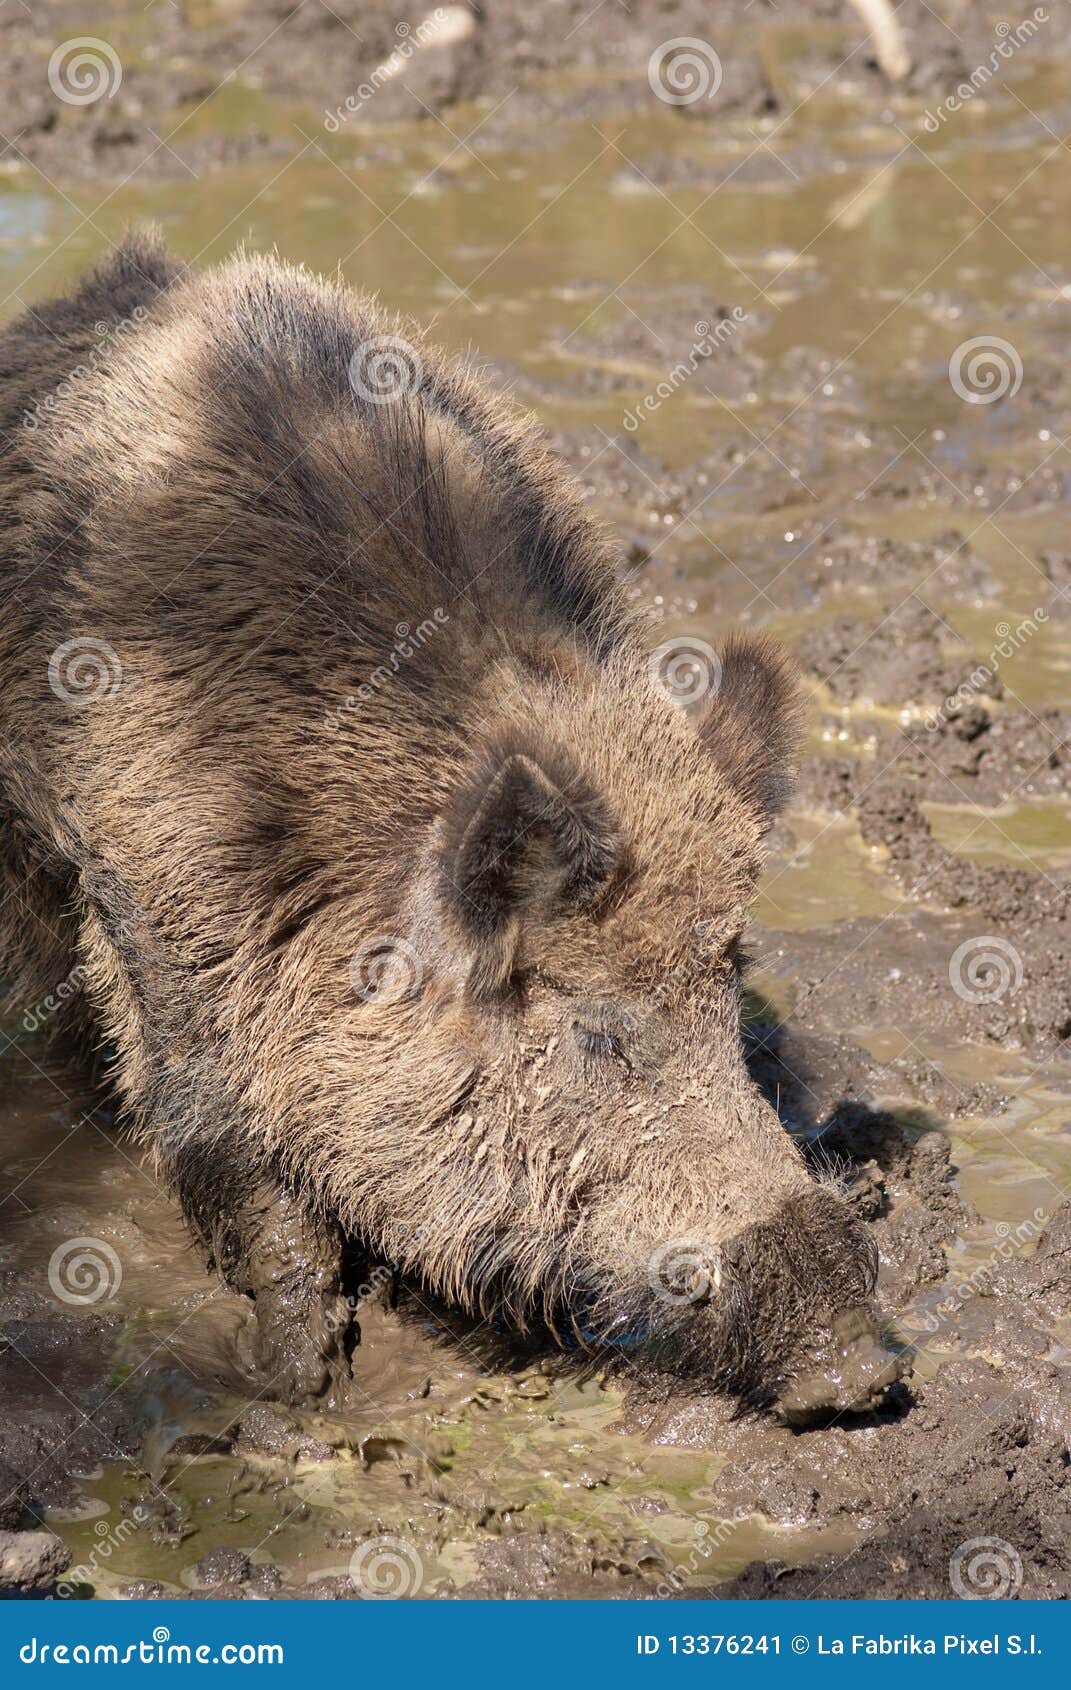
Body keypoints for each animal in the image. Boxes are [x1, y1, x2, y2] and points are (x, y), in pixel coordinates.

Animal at [0, 233, 889, 1412]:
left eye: (727, 989)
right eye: (594, 1032)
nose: (864, 1366)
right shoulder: (165, 928)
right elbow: (234, 1155)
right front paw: (295, 1381)